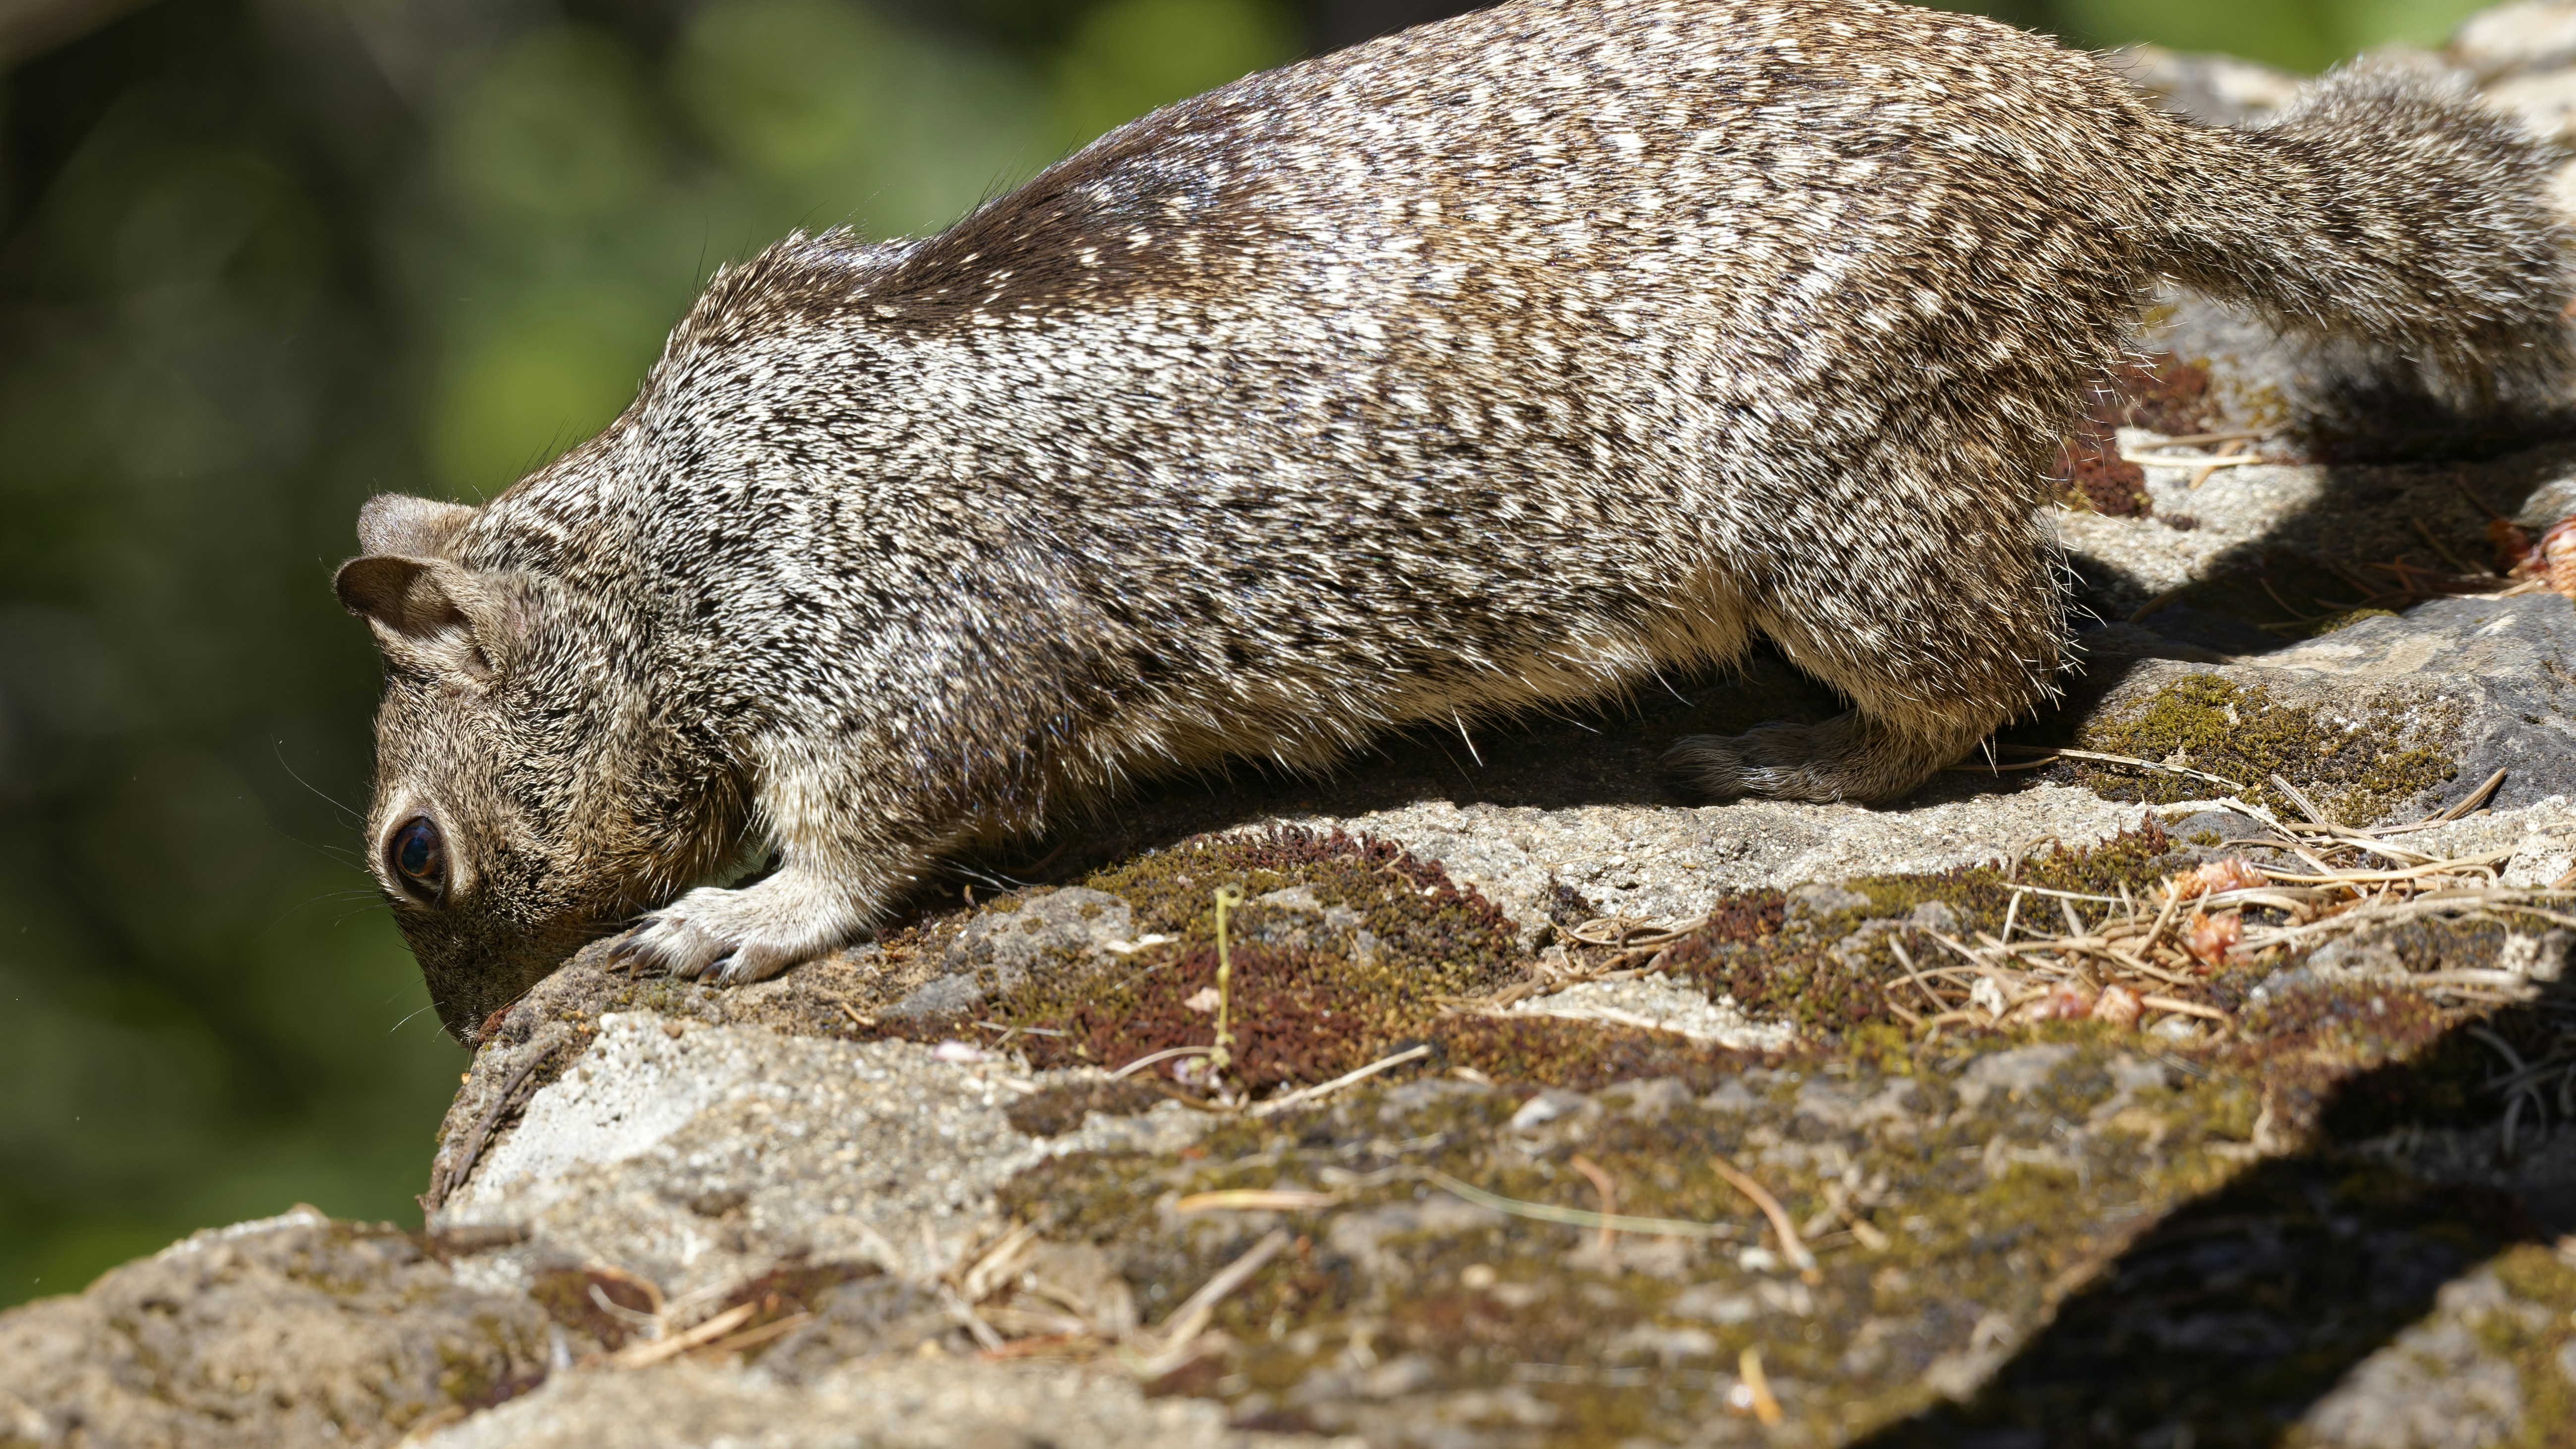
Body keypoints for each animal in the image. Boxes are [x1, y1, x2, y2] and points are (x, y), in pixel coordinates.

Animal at [336, 0, 2573, 1039]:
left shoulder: (895, 621)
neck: (671, 531)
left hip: (1831, 493)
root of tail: (2106, 137)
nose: (481, 1030)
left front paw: (736, 918)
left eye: (410, 855)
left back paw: (1792, 755)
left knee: (2001, 665)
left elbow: (880, 810)